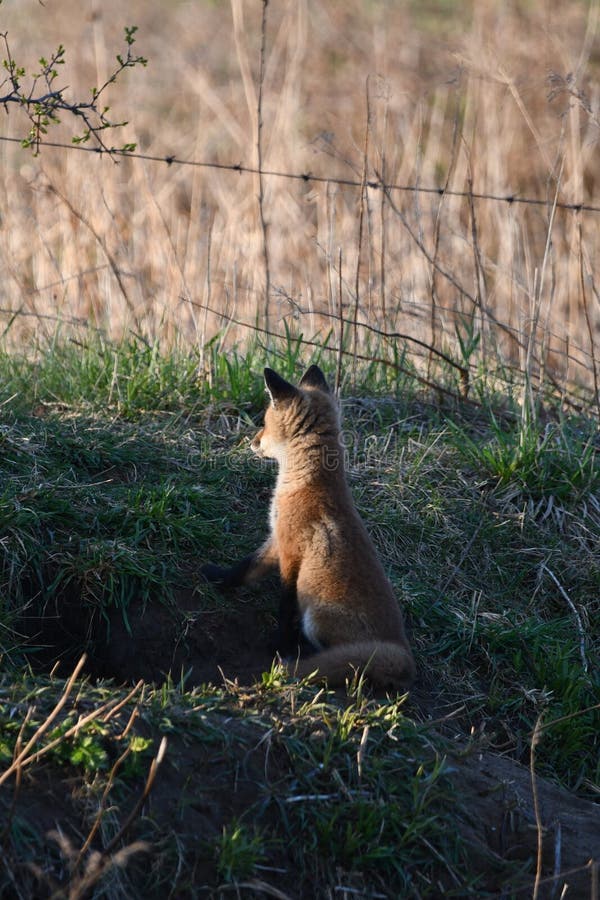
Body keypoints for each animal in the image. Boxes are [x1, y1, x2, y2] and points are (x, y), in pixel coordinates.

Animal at [202, 365, 415, 690]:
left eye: (264, 422)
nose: (252, 441)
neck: (305, 483)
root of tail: (403, 654)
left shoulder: (292, 552)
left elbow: (285, 606)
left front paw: (279, 645)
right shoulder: (276, 538)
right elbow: (244, 568)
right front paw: (216, 577)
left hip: (316, 616)